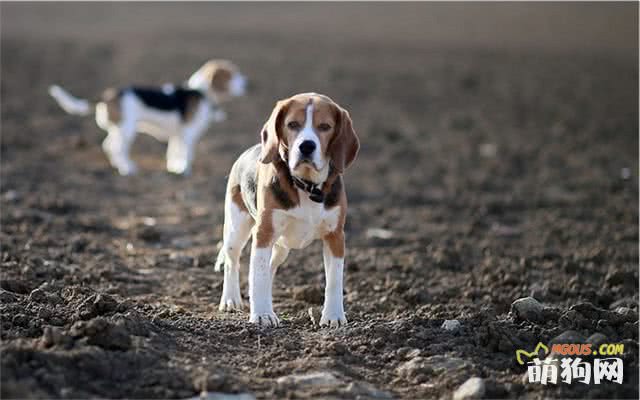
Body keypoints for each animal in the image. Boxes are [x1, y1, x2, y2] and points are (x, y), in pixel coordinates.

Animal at [47, 59, 246, 175]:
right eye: (231, 74)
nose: (248, 84)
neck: (200, 91)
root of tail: (109, 94)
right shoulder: (188, 135)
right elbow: (187, 154)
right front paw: (184, 170)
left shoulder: (177, 135)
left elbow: (173, 152)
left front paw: (174, 168)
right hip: (127, 130)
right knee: (118, 149)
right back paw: (127, 168)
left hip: (119, 129)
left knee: (108, 145)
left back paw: (117, 165)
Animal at [215, 92, 360, 326]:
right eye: (292, 124)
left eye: (325, 126)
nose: (307, 146)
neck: (307, 185)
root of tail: (249, 150)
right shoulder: (264, 233)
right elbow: (259, 275)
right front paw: (262, 314)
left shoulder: (335, 236)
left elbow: (334, 280)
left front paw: (333, 316)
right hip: (237, 229)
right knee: (232, 262)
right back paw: (231, 300)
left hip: (281, 248)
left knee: (269, 268)